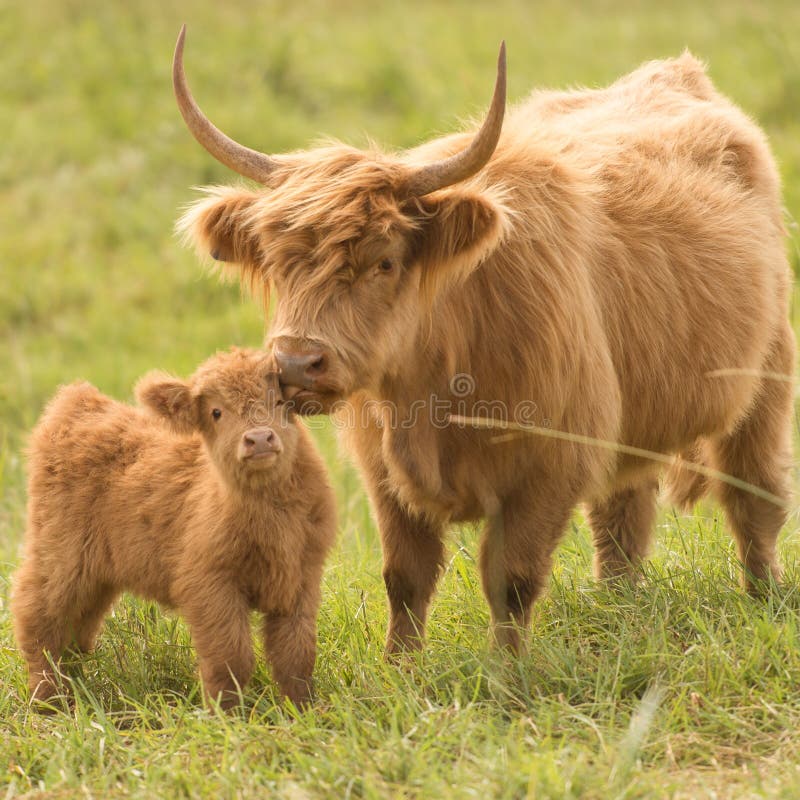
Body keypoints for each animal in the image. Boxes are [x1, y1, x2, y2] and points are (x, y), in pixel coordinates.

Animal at [12, 348, 336, 708]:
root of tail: (80, 401)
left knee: (77, 629)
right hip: (59, 556)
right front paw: (226, 714)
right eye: (216, 412)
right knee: (38, 616)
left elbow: (296, 655)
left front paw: (303, 710)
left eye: (279, 401)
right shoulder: (209, 584)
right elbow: (230, 659)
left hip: (95, 576)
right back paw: (48, 703)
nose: (259, 439)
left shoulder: (301, 578)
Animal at [173, 25, 795, 655]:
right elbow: (405, 576)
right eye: (277, 265)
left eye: (385, 262)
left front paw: (507, 669)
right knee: (623, 516)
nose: (298, 363)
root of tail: (675, 72)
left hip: (768, 377)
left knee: (753, 496)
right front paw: (401, 665)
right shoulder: (383, 474)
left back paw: (763, 599)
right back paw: (618, 607)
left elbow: (511, 579)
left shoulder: (548, 465)